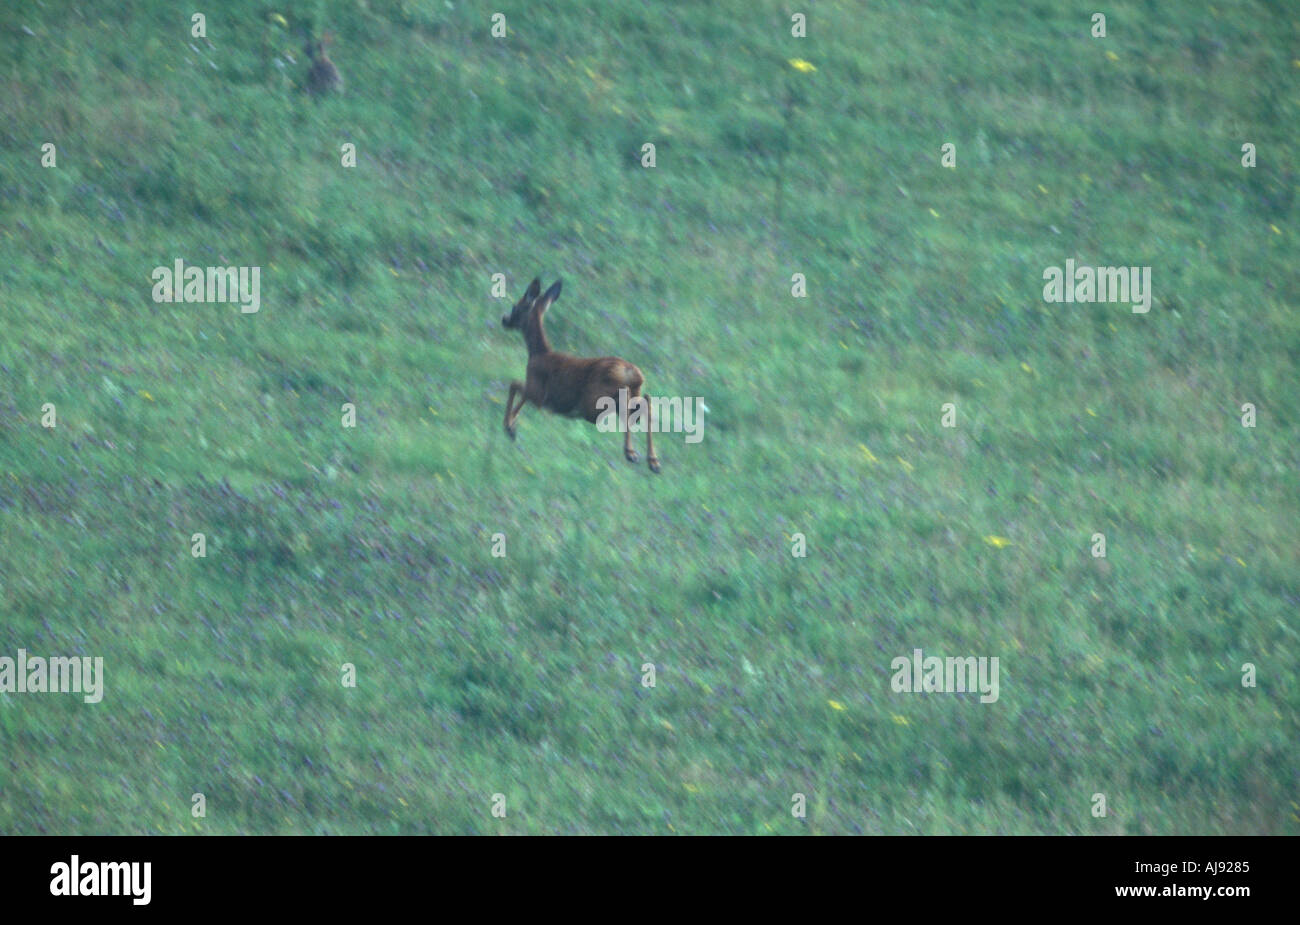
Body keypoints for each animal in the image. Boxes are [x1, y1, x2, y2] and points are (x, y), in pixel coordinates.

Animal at [501, 278, 660, 473]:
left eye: (515, 307)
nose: (504, 320)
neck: (538, 353)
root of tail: (631, 371)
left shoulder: (537, 390)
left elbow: (514, 384)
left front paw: (510, 427)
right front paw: (512, 426)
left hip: (595, 402)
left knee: (631, 408)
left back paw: (631, 453)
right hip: (618, 398)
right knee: (646, 404)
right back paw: (653, 462)